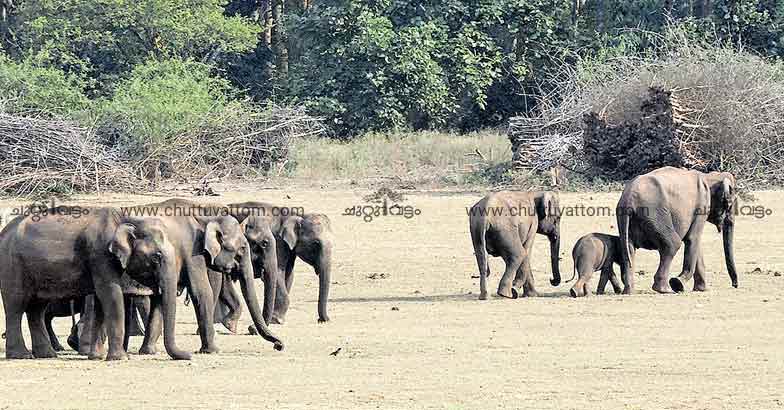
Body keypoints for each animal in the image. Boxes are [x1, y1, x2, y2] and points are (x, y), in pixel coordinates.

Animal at [0, 207, 191, 360]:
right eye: (157, 257)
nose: (189, 355)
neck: (125, 219)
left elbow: (101, 301)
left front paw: (96, 356)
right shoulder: (100, 255)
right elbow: (111, 295)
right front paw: (120, 358)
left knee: (37, 309)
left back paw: (47, 355)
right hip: (12, 265)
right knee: (16, 306)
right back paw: (21, 355)